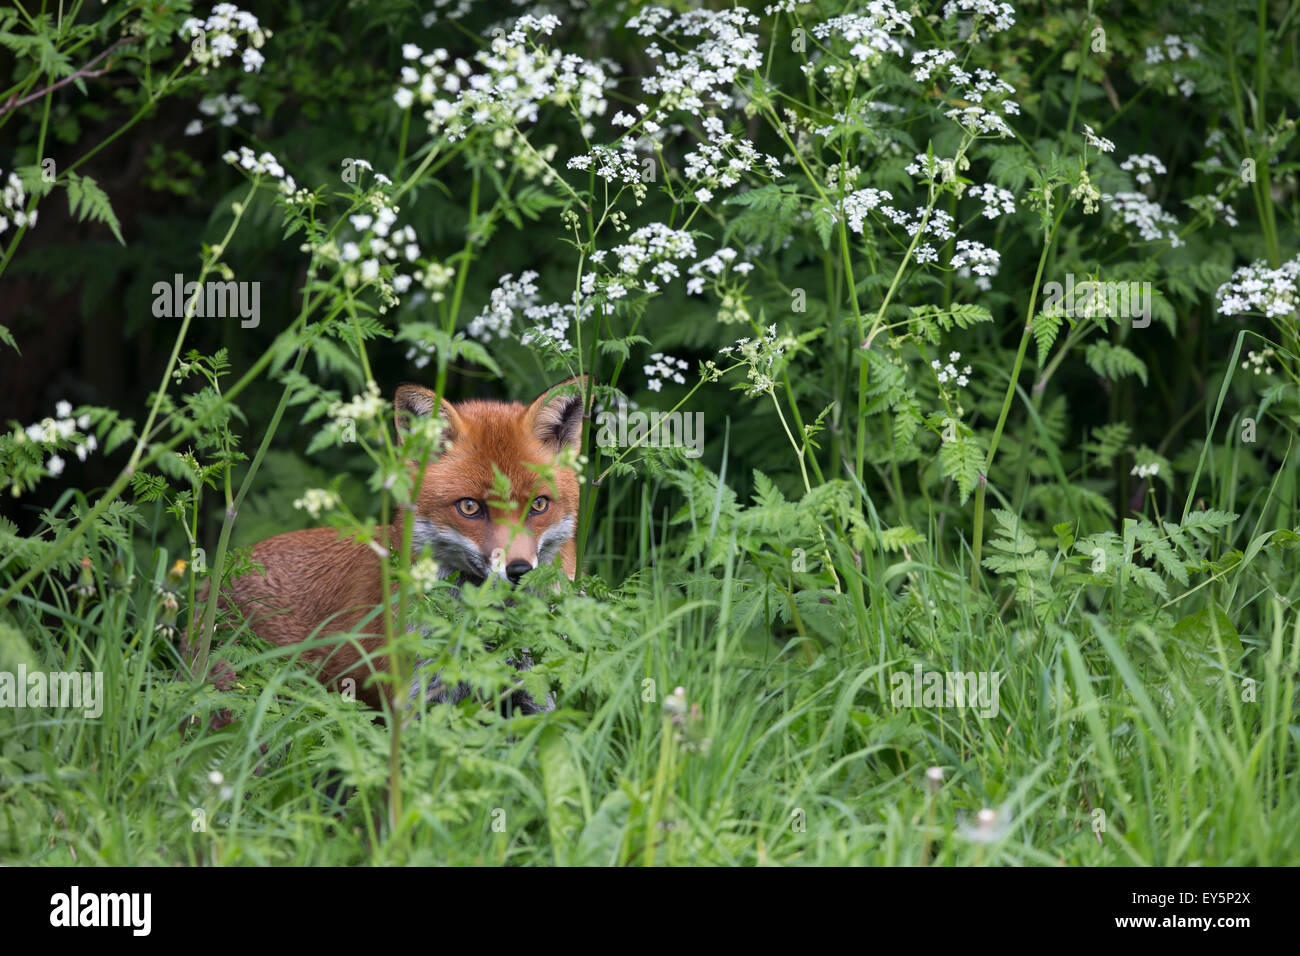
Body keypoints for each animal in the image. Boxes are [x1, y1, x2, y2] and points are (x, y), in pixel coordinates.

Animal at [188, 376, 586, 721]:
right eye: (470, 507)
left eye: (538, 505)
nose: (519, 570)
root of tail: (224, 570)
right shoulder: (418, 701)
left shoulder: (534, 693)